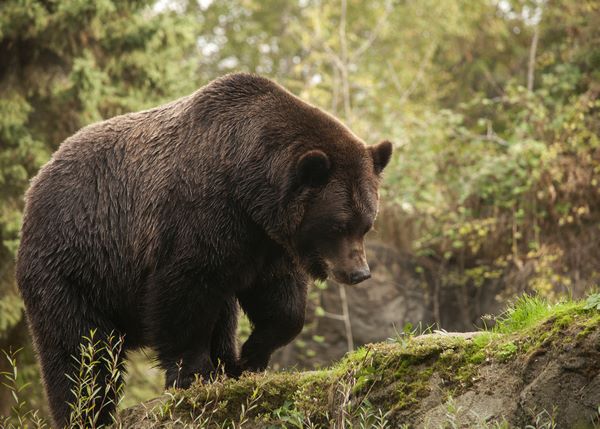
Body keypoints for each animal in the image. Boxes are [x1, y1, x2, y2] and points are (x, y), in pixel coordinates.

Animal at [15, 72, 394, 424]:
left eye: (367, 223)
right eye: (338, 225)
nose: (359, 273)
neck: (248, 188)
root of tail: (37, 182)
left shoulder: (263, 242)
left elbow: (281, 303)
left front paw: (247, 358)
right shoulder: (199, 217)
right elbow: (185, 297)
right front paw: (196, 374)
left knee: (221, 317)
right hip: (75, 263)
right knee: (80, 349)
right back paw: (86, 410)